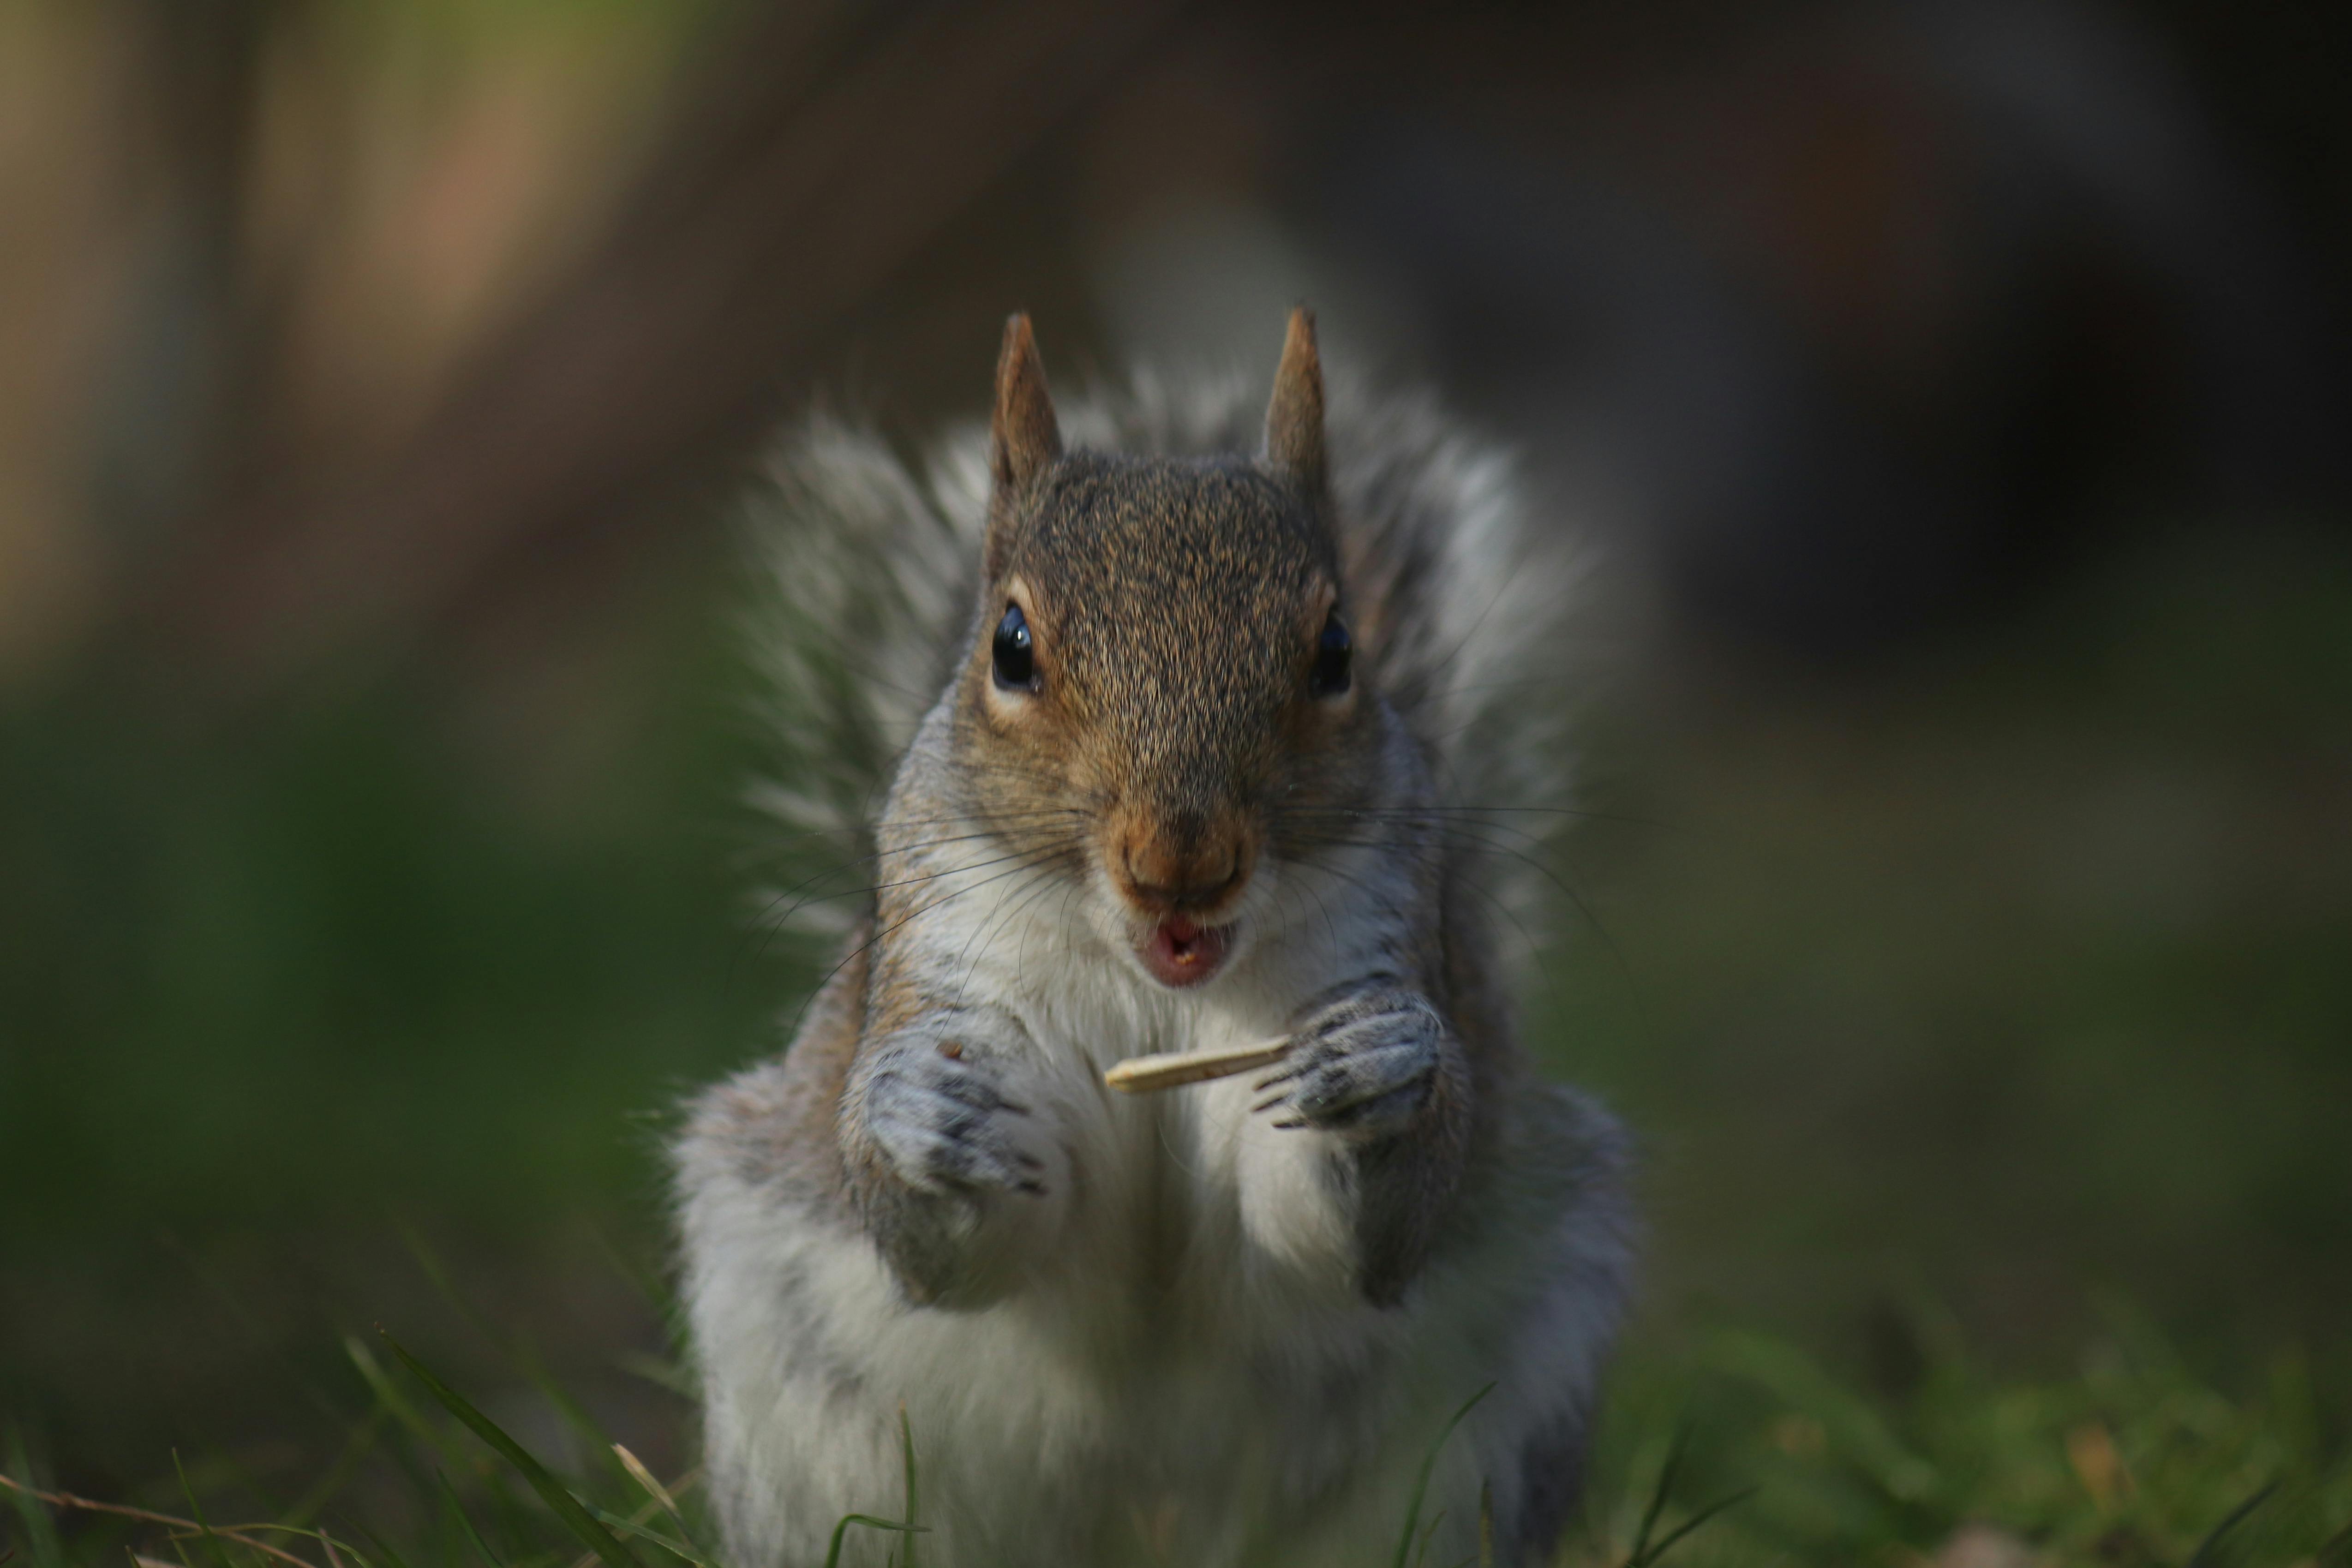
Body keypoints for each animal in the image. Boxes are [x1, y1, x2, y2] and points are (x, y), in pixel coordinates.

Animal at [674, 310, 1633, 1568]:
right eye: (1010, 647)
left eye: (1337, 650)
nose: (1181, 860)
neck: (1155, 985)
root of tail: (1150, 1523)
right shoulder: (946, 957)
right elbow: (952, 1253)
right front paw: (923, 1112)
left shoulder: (1374, 939)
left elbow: (1353, 1233)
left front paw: (1381, 1068)